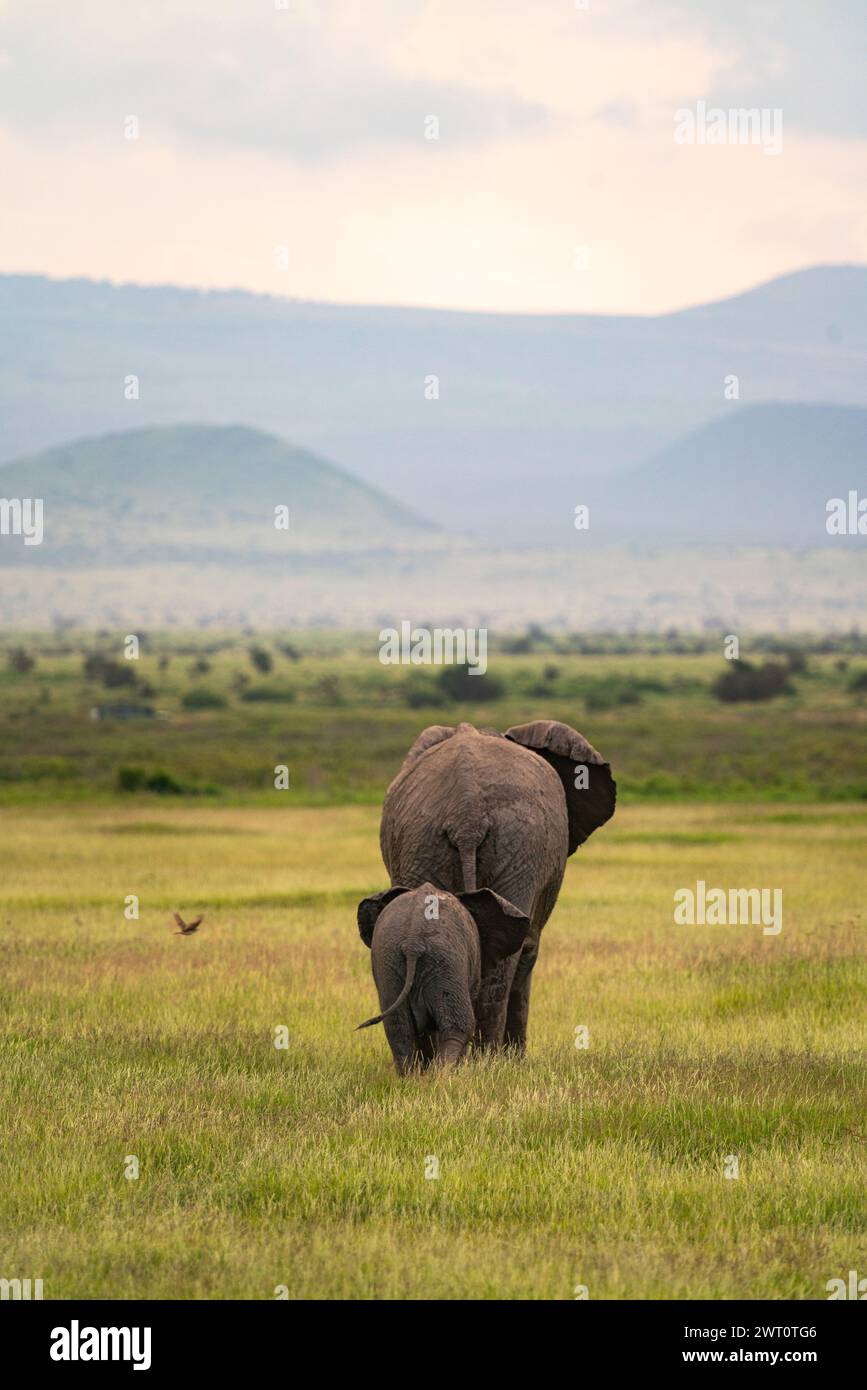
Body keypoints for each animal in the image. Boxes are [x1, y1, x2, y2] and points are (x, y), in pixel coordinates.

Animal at [356, 882, 530, 1074]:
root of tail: (412, 943)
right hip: (445, 961)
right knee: (458, 1027)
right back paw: (442, 1077)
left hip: (390, 962)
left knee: (398, 1028)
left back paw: (412, 1077)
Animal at [376, 719, 615, 1053]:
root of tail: (467, 813)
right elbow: (528, 949)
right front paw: (515, 1057)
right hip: (519, 846)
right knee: (509, 956)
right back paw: (490, 1057)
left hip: (422, 842)